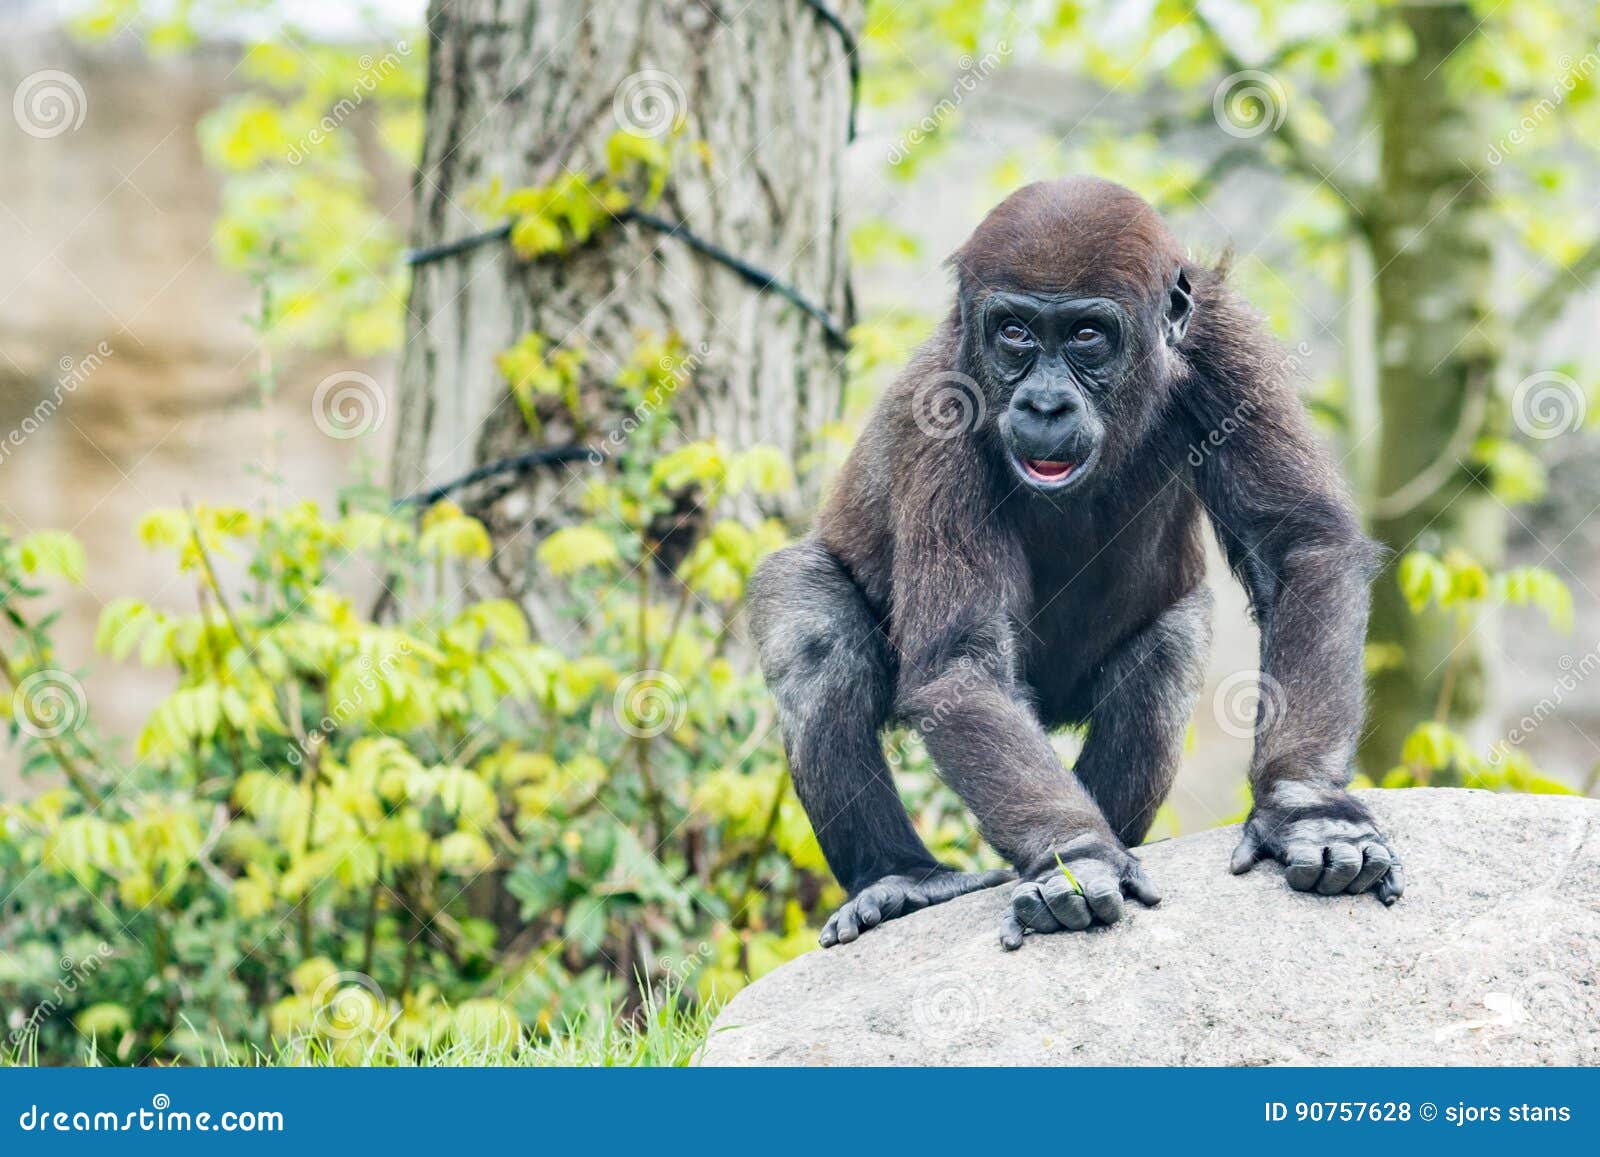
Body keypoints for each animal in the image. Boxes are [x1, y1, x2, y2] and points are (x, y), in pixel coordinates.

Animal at [747, 177, 1403, 951]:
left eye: (1088, 335)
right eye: (1015, 333)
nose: (1045, 403)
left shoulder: (1222, 341)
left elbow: (1300, 547)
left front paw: (1306, 807)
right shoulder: (940, 409)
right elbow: (962, 662)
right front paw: (1077, 853)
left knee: (1164, 657)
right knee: (812, 627)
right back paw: (898, 878)